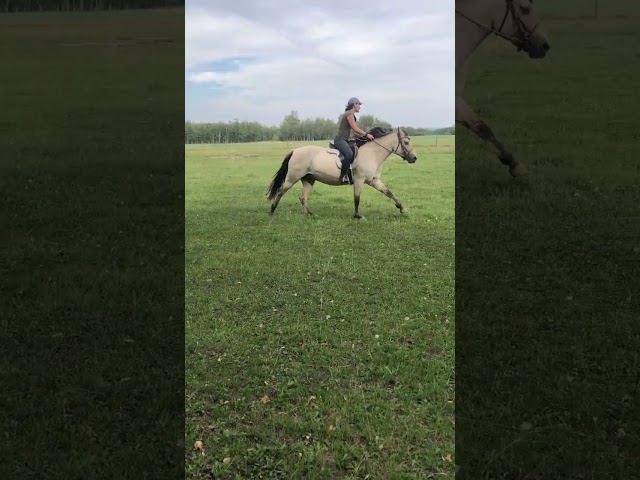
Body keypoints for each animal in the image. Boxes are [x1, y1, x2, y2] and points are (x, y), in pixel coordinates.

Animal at [266, 126, 418, 219]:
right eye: (406, 142)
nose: (414, 158)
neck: (372, 153)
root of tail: (295, 151)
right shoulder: (359, 180)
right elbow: (357, 198)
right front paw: (357, 216)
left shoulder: (374, 180)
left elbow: (389, 193)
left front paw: (402, 209)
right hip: (292, 178)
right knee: (280, 192)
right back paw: (272, 211)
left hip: (308, 179)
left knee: (303, 197)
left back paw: (309, 214)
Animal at [455, 0, 551, 177]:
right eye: (524, 9)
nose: (545, 45)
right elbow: (482, 128)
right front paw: (516, 165)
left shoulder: (456, 99)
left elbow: (482, 128)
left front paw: (513, 163)